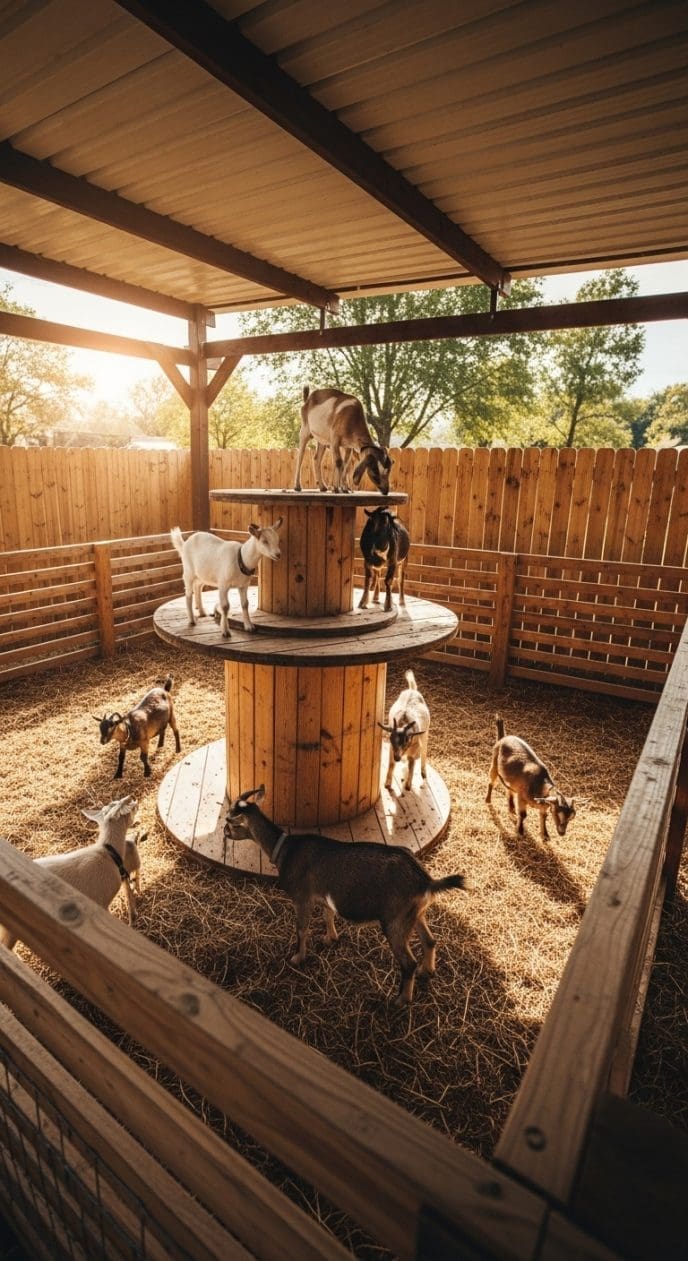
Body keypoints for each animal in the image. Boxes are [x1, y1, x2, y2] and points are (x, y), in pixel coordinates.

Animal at [225, 786, 466, 1004]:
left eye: (230, 821)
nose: (225, 832)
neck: (285, 849)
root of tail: (426, 881)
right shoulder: (323, 895)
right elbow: (328, 915)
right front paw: (330, 939)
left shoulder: (302, 897)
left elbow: (301, 929)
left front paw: (297, 958)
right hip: (414, 914)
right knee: (430, 941)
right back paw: (428, 972)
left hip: (395, 921)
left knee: (408, 963)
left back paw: (401, 1000)